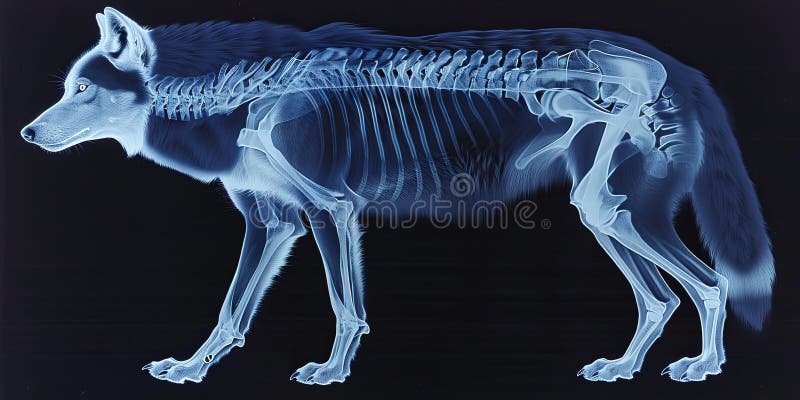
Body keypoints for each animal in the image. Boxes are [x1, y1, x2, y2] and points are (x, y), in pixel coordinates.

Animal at [22, 7, 773, 385]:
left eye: (84, 89)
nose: (27, 133)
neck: (234, 99)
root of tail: (676, 65)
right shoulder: (272, 221)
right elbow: (231, 308)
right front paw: (189, 368)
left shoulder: (331, 208)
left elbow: (344, 304)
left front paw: (330, 372)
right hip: (608, 214)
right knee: (663, 296)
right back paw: (622, 369)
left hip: (617, 209)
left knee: (708, 284)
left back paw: (701, 368)